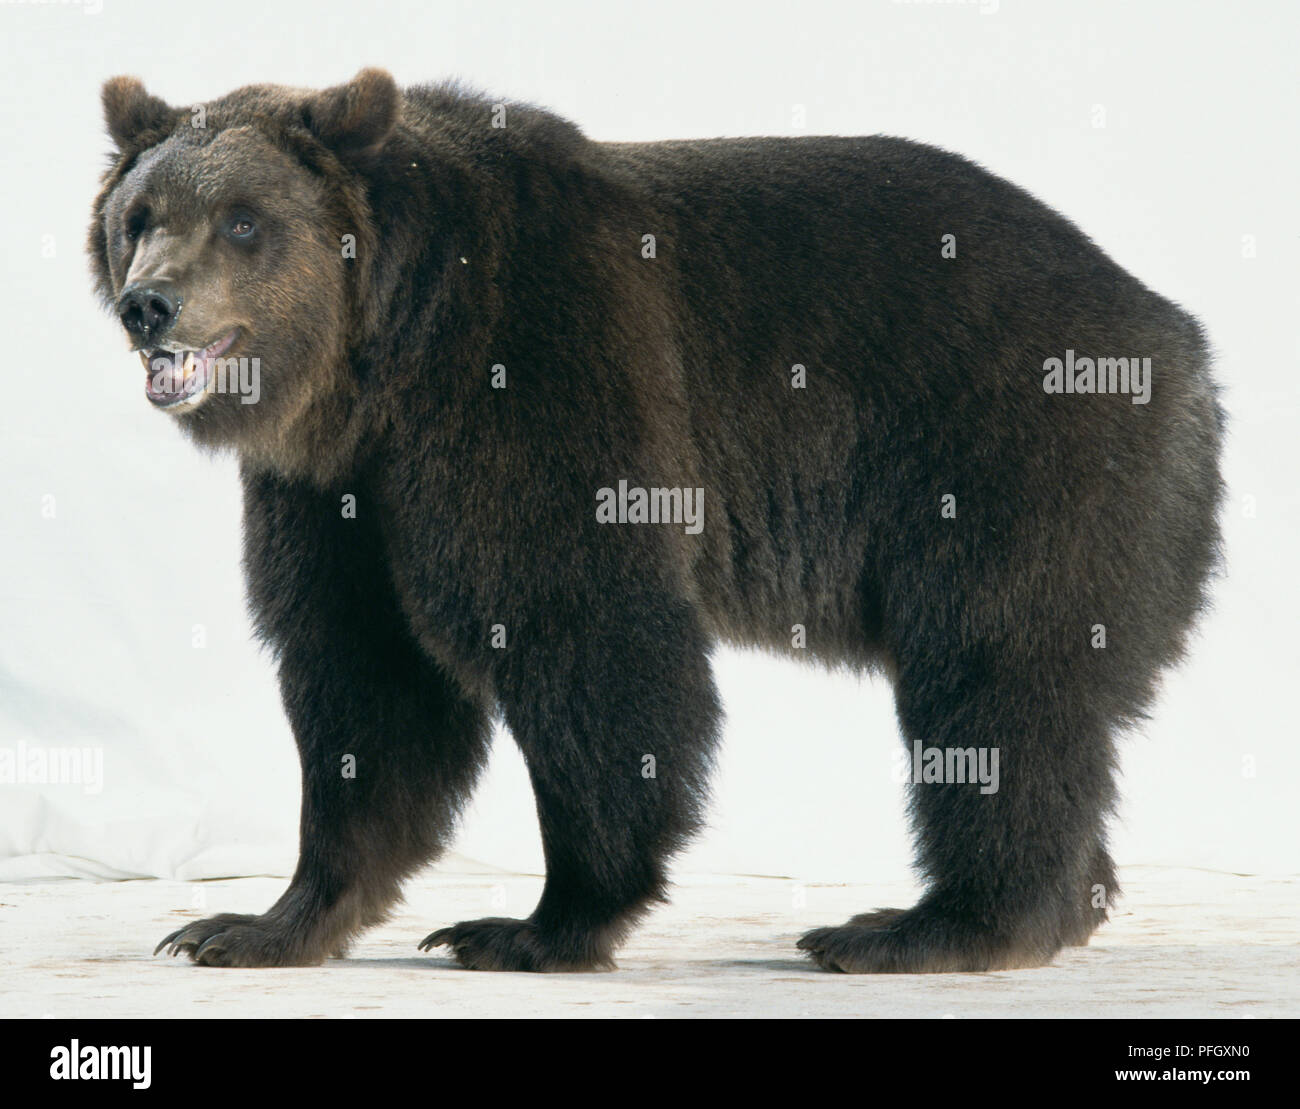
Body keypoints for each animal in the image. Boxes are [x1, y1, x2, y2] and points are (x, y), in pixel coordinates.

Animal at [88, 68, 1224, 972]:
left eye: (243, 219)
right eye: (138, 216)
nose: (149, 304)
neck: (383, 358)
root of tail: (1172, 329)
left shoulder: (536, 367)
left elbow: (582, 628)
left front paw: (535, 923)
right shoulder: (338, 491)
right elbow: (365, 674)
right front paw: (247, 923)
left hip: (1014, 451)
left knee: (994, 675)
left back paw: (924, 926)